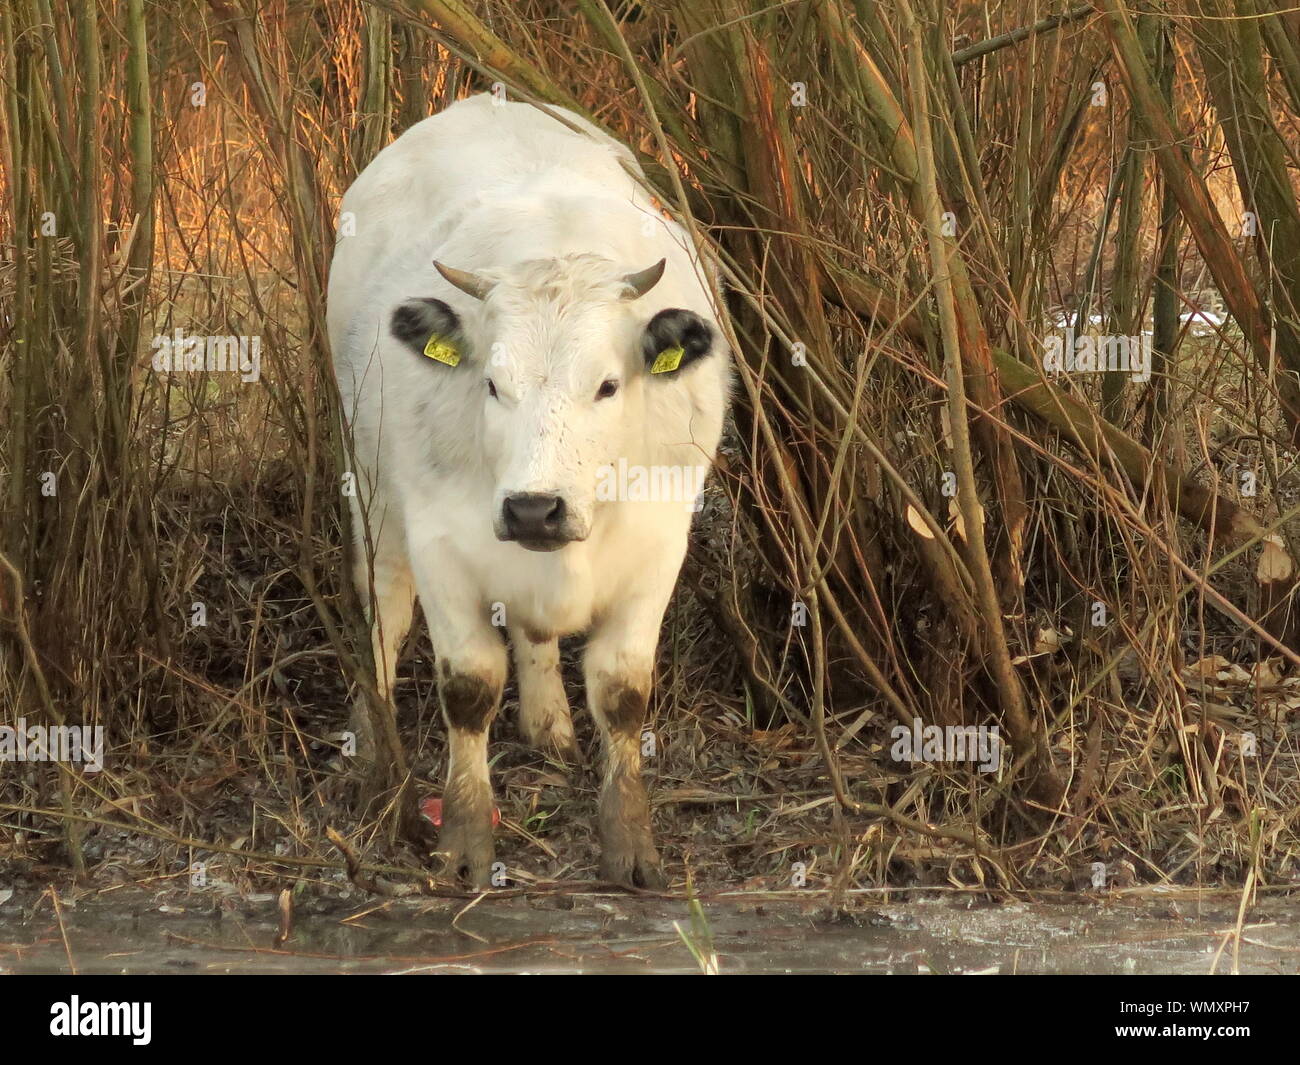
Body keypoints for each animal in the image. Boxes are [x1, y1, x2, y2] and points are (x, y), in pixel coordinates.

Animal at [326, 94, 731, 889]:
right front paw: (463, 841)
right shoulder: (440, 542)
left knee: (533, 629)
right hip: (373, 485)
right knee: (383, 608)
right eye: (490, 383)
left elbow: (622, 690)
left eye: (608, 385)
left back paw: (547, 722)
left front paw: (629, 844)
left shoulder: (660, 543)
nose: (534, 508)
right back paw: (374, 743)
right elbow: (469, 685)